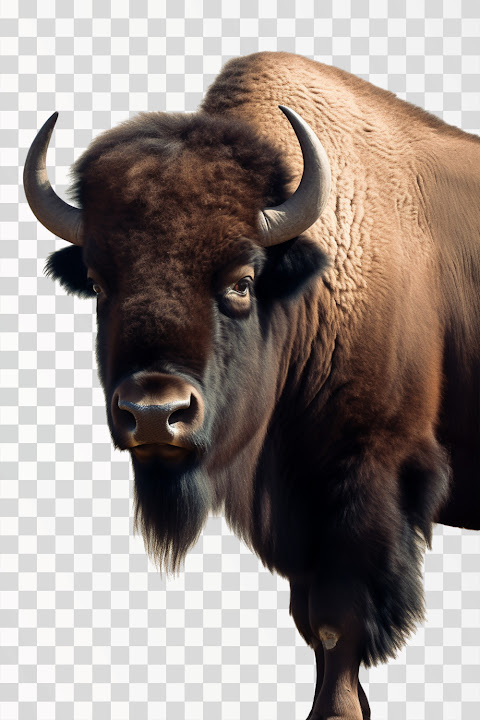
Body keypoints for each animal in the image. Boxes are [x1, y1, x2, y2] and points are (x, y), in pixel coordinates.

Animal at [24, 52, 480, 719]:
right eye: (100, 284)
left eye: (241, 281)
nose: (154, 412)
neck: (306, 290)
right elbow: (311, 620)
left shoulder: (368, 475)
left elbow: (339, 619)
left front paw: (339, 711)